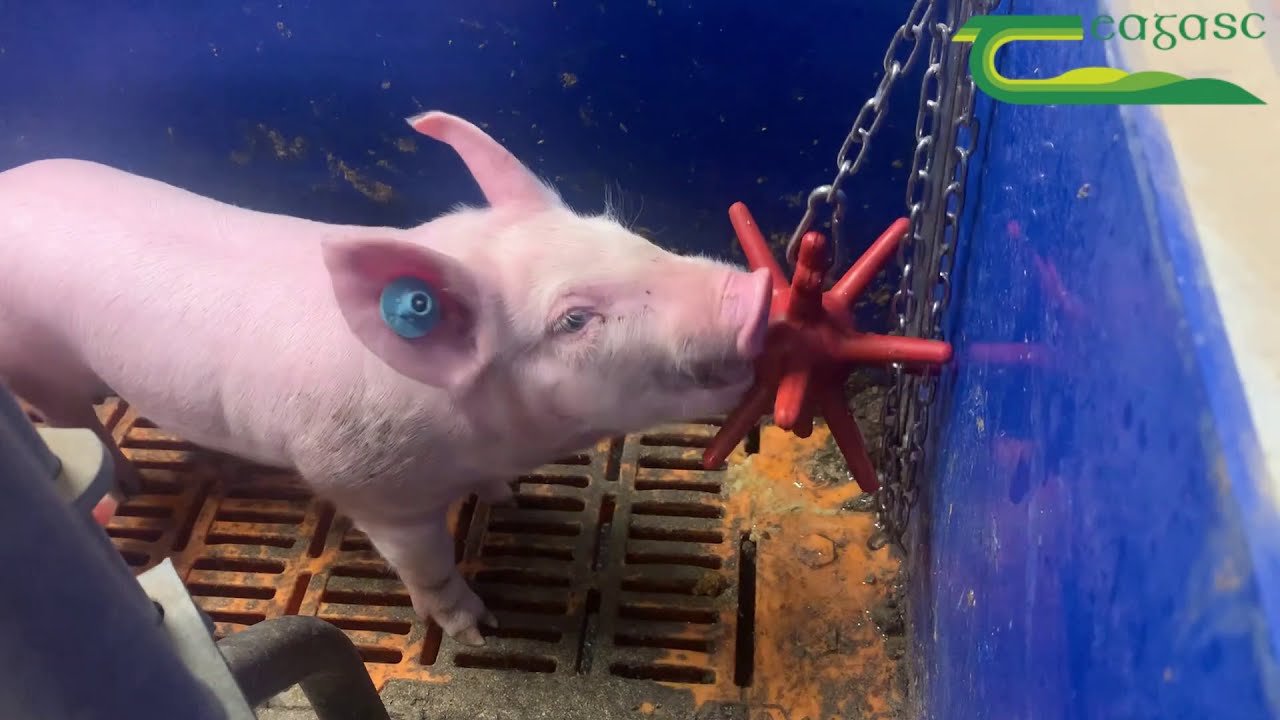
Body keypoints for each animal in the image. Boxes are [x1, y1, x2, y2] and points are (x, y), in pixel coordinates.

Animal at [0, 111, 772, 645]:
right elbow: (424, 564)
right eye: (573, 320)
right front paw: (475, 630)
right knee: (74, 417)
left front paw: (510, 498)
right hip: (37, 362)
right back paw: (127, 485)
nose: (753, 290)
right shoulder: (369, 487)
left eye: (627, 235)